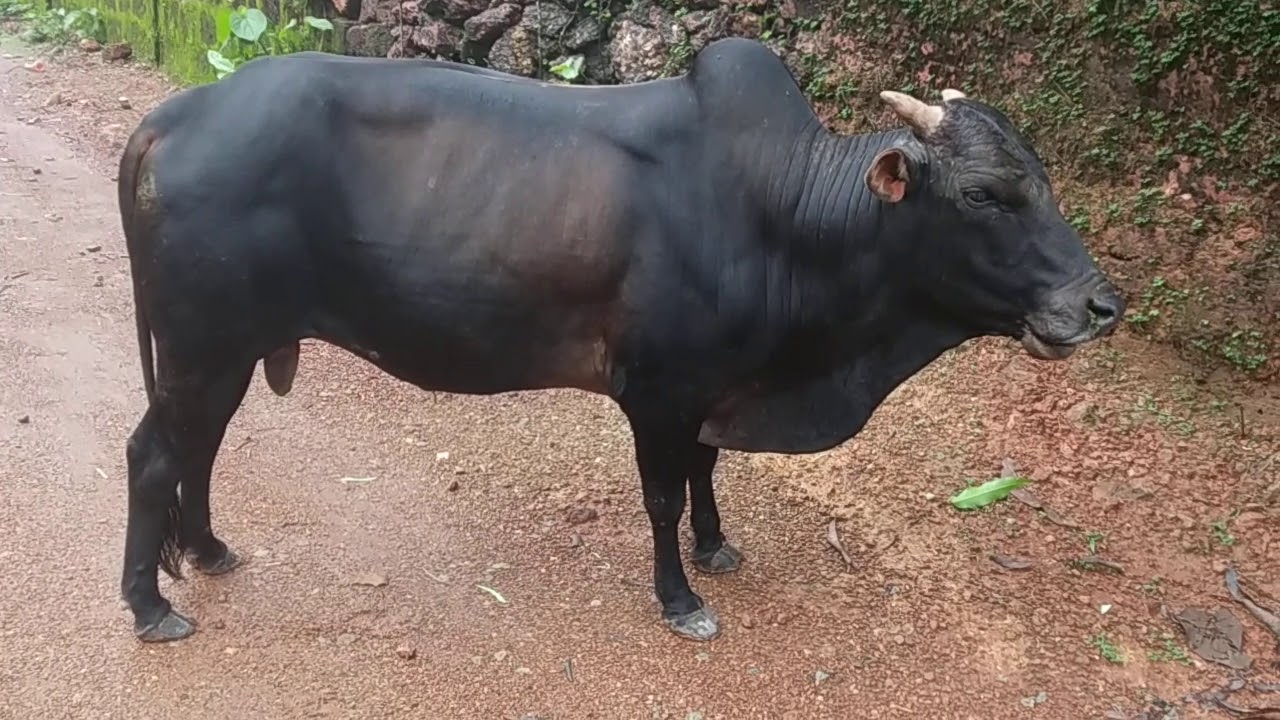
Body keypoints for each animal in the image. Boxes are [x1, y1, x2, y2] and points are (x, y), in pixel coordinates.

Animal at [116, 36, 1125, 644]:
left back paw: (206, 550)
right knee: (154, 456)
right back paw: (151, 603)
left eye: (1040, 178)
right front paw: (681, 598)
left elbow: (709, 475)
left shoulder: (716, 386)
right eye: (986, 194)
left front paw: (718, 547)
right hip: (206, 346)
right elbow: (664, 497)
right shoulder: (660, 392)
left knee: (195, 450)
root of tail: (180, 112)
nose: (1100, 305)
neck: (786, 216)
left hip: (220, 352)